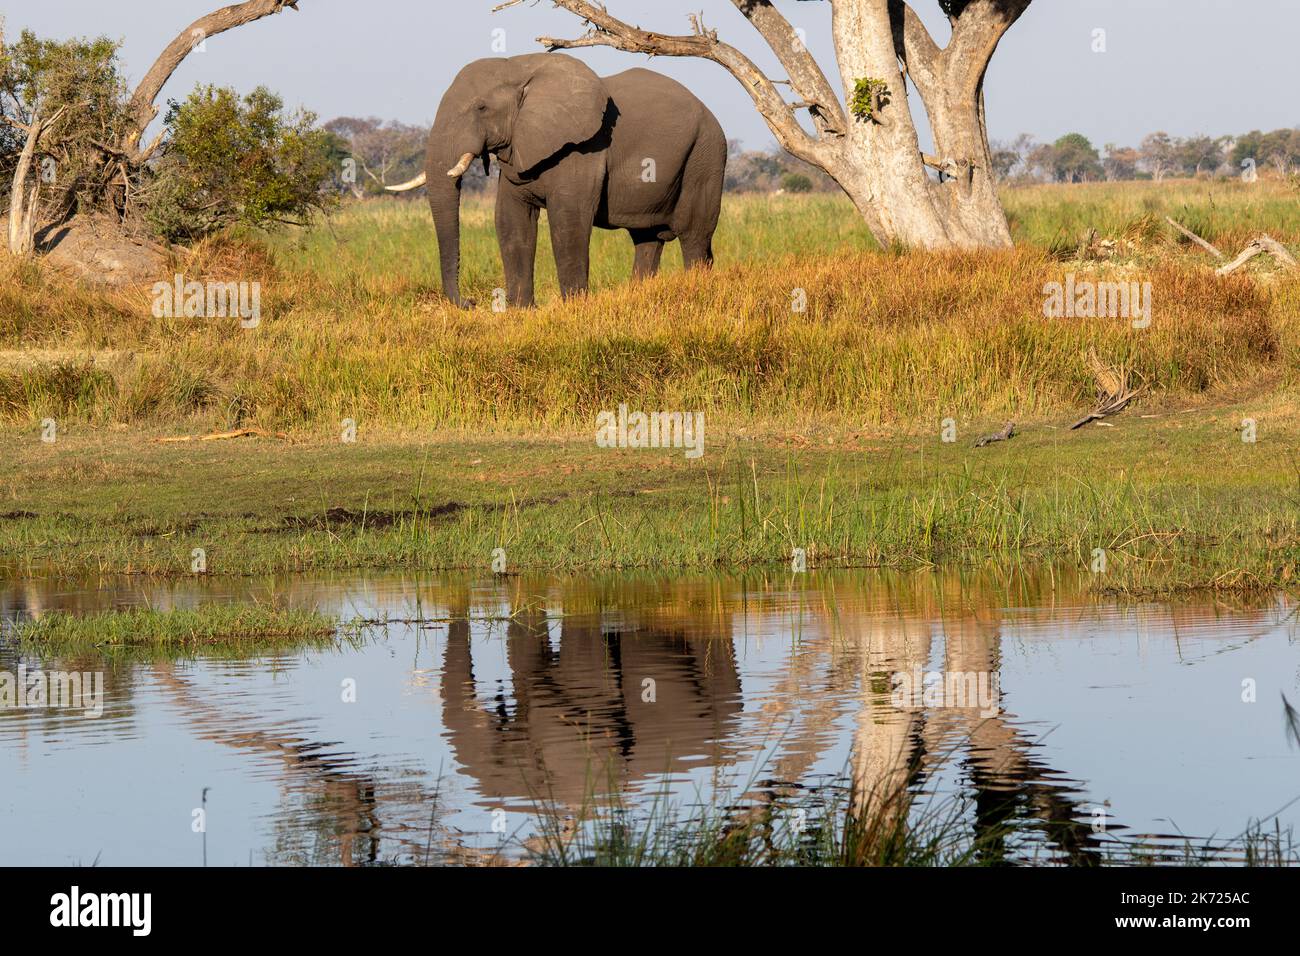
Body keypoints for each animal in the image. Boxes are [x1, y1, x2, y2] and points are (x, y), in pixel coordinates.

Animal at [387, 53, 727, 309]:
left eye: (481, 108)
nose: (471, 302)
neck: (519, 67)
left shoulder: (584, 149)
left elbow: (568, 221)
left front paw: (574, 308)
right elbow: (510, 221)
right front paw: (521, 311)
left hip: (705, 156)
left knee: (693, 234)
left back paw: (698, 290)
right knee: (648, 238)